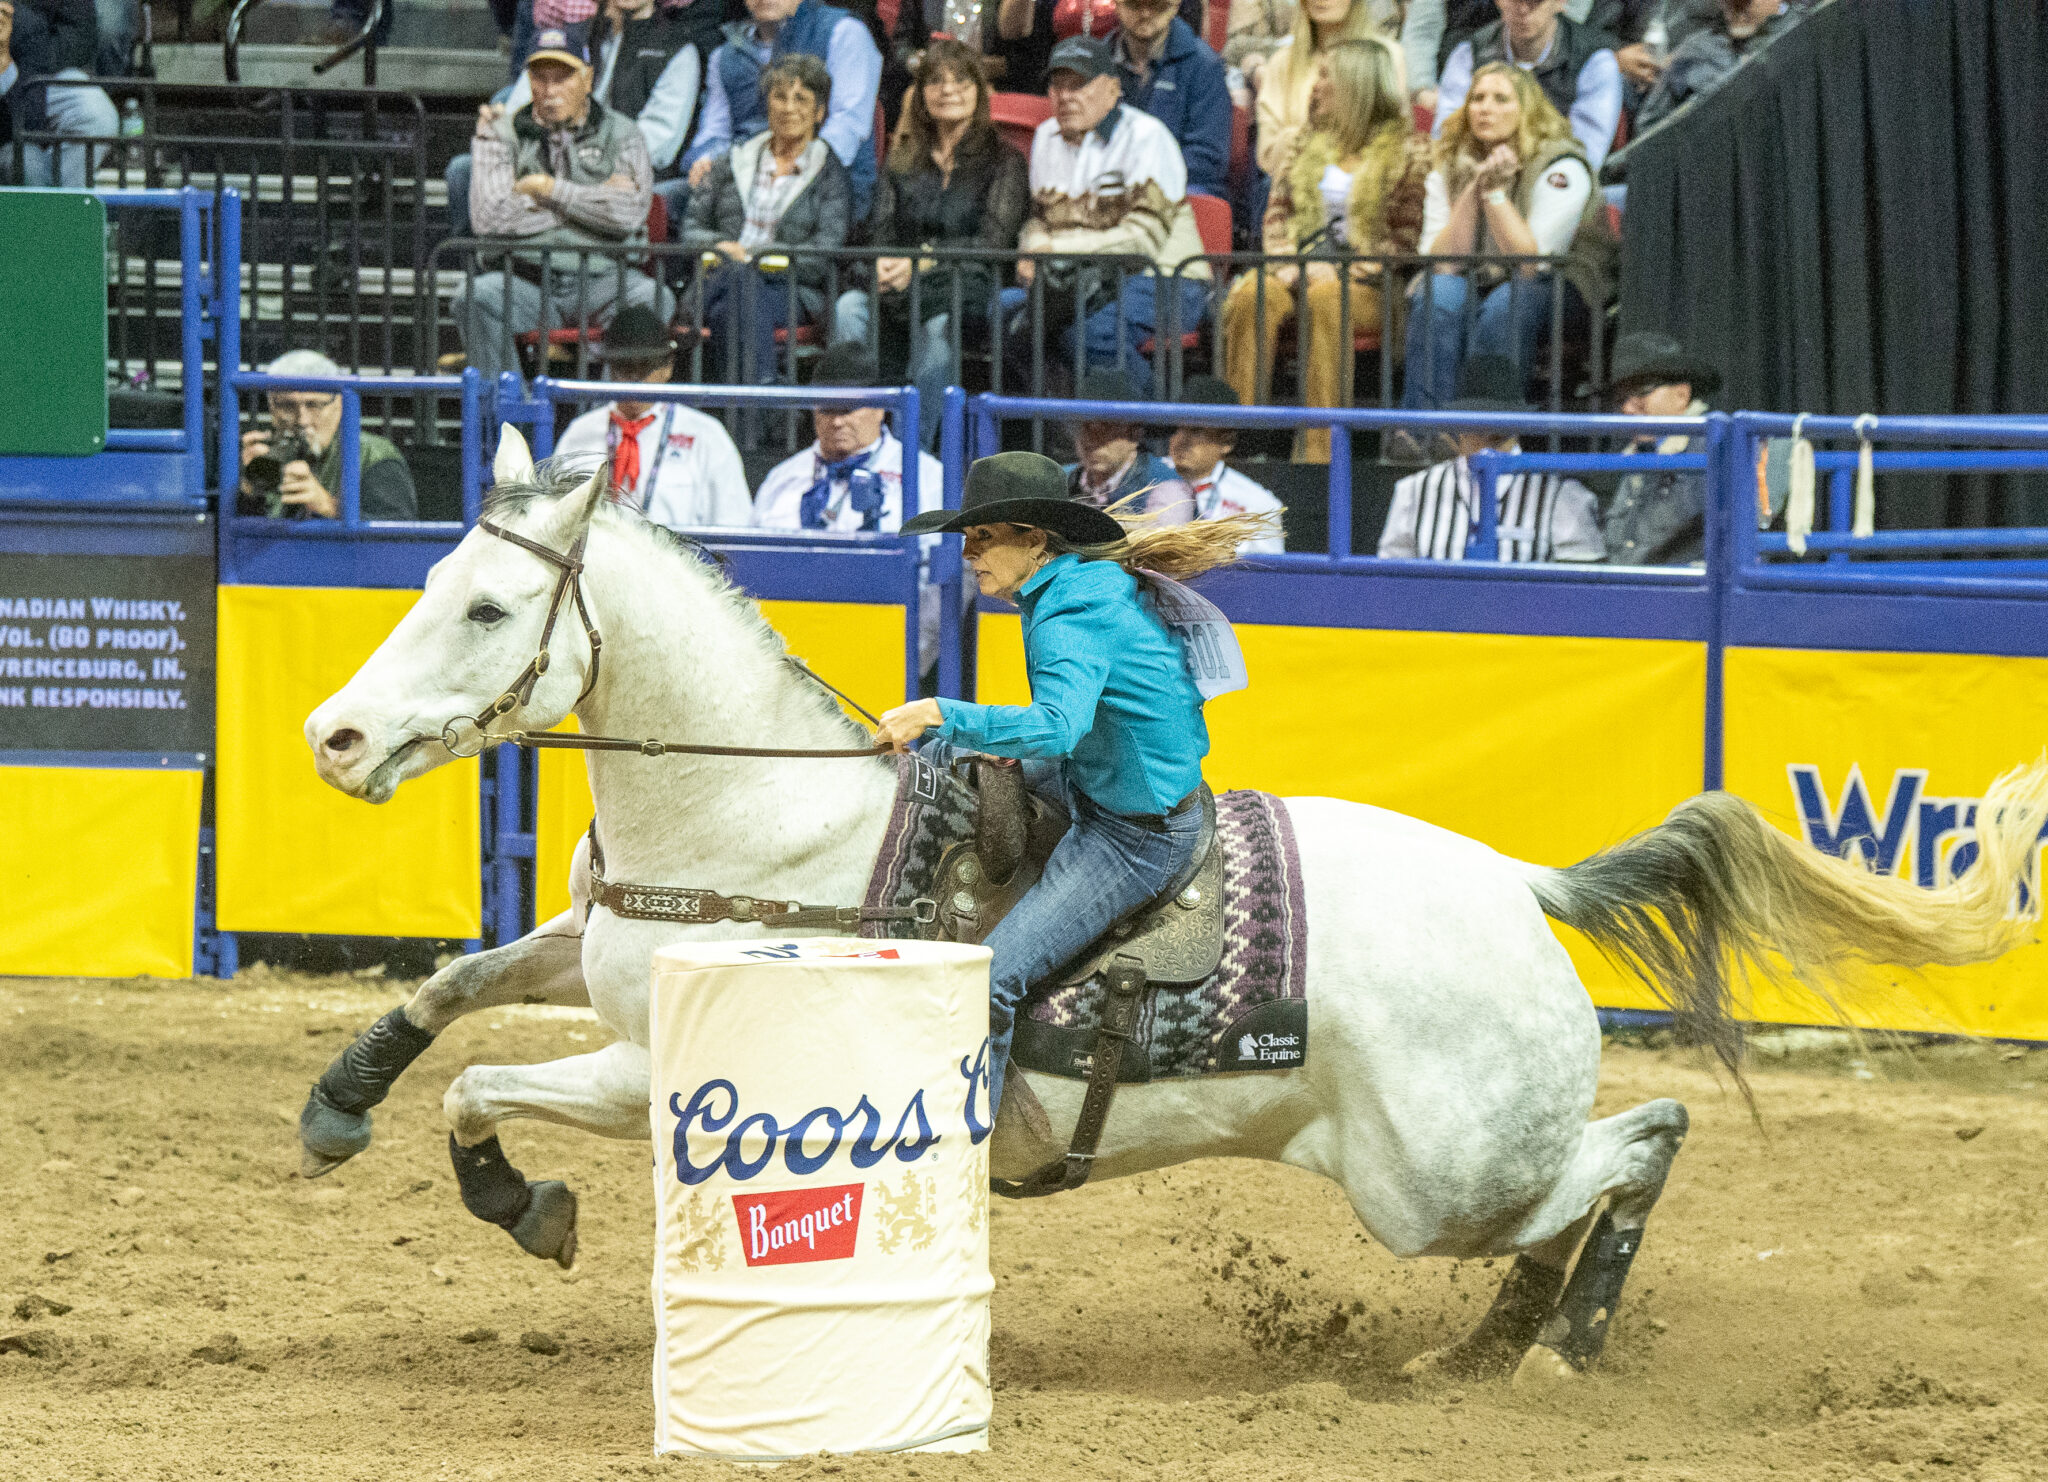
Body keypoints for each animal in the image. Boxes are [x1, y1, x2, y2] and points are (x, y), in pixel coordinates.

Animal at [297, 429, 2048, 1390]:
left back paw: (1557, 1344)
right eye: (430, 581)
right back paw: (1491, 1347)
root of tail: (1515, 882)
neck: (770, 816)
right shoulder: (593, 956)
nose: (333, 737)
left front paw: (526, 1204)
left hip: (1431, 1179)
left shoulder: (669, 1068)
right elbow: (449, 992)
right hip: (1444, 1177)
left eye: (489, 606)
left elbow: (481, 1088)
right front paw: (333, 1103)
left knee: (1644, 1141)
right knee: (1600, 1176)